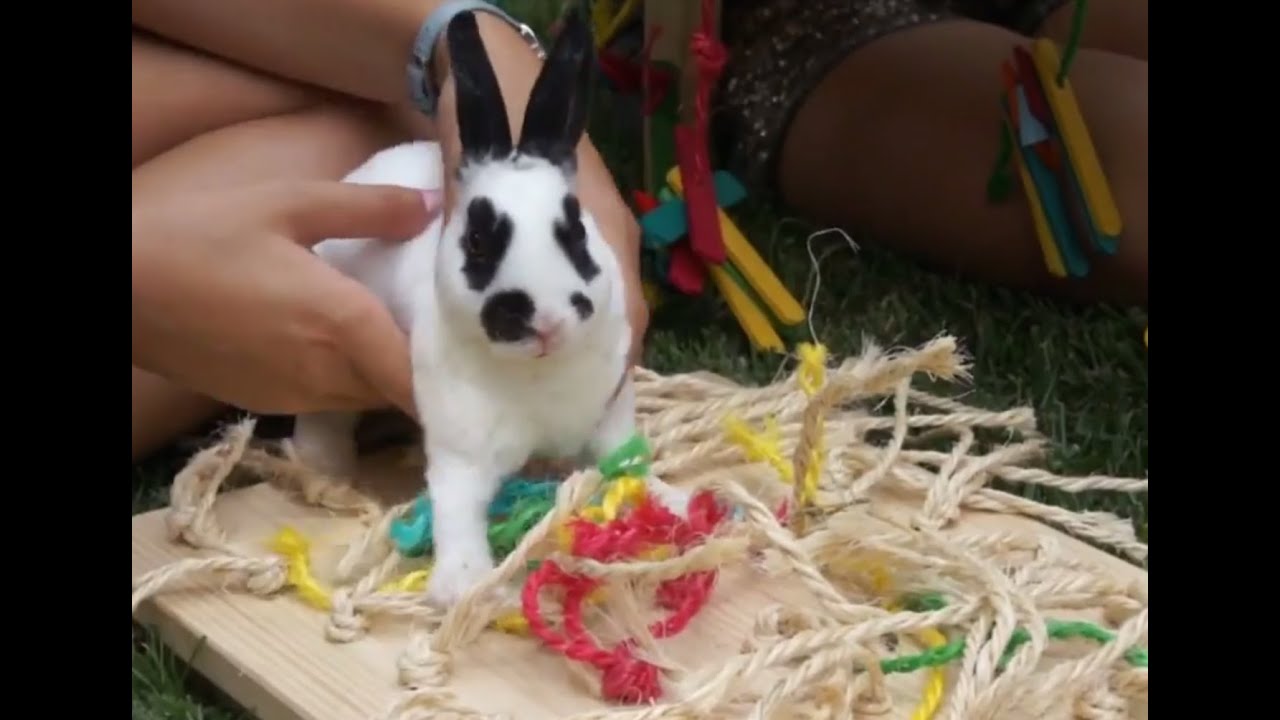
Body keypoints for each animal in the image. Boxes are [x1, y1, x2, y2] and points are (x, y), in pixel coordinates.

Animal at [289, 8, 692, 607]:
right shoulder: (462, 446)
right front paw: (462, 583)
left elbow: (627, 464)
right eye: (478, 241)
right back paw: (326, 468)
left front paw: (679, 504)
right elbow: (457, 507)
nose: (543, 319)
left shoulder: (609, 413)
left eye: (574, 230)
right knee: (324, 418)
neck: (539, 375)